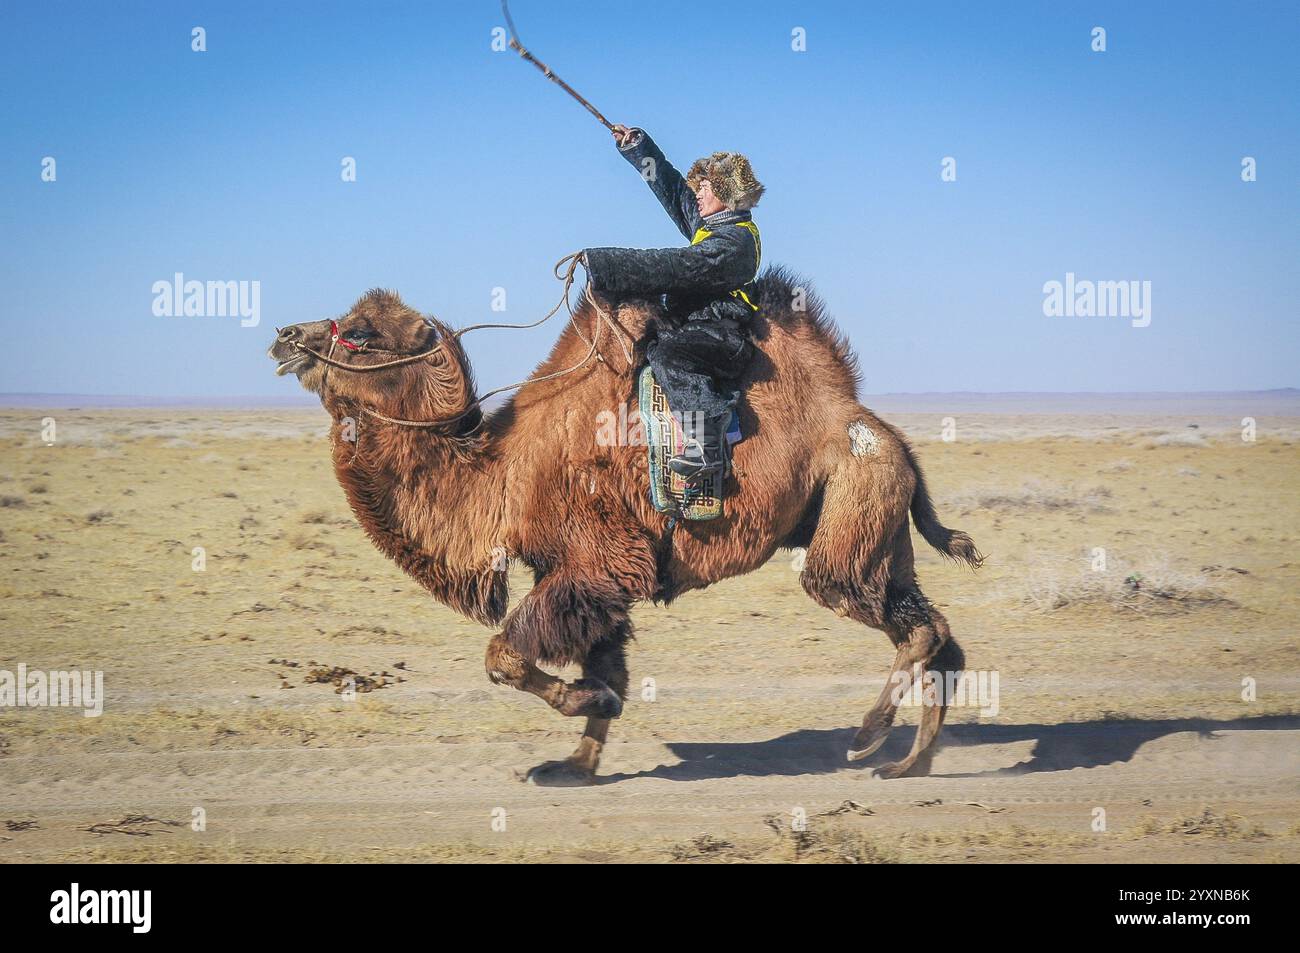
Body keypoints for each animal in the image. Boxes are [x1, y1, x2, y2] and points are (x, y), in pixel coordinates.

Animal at [267, 267, 982, 784]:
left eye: (361, 333)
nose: (284, 336)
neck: (501, 473)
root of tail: (882, 433)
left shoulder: (596, 562)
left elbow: (506, 656)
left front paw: (588, 710)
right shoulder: (583, 576)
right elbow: (605, 665)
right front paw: (574, 764)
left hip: (851, 509)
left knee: (896, 618)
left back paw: (867, 737)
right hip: (875, 521)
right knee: (935, 631)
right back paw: (909, 762)